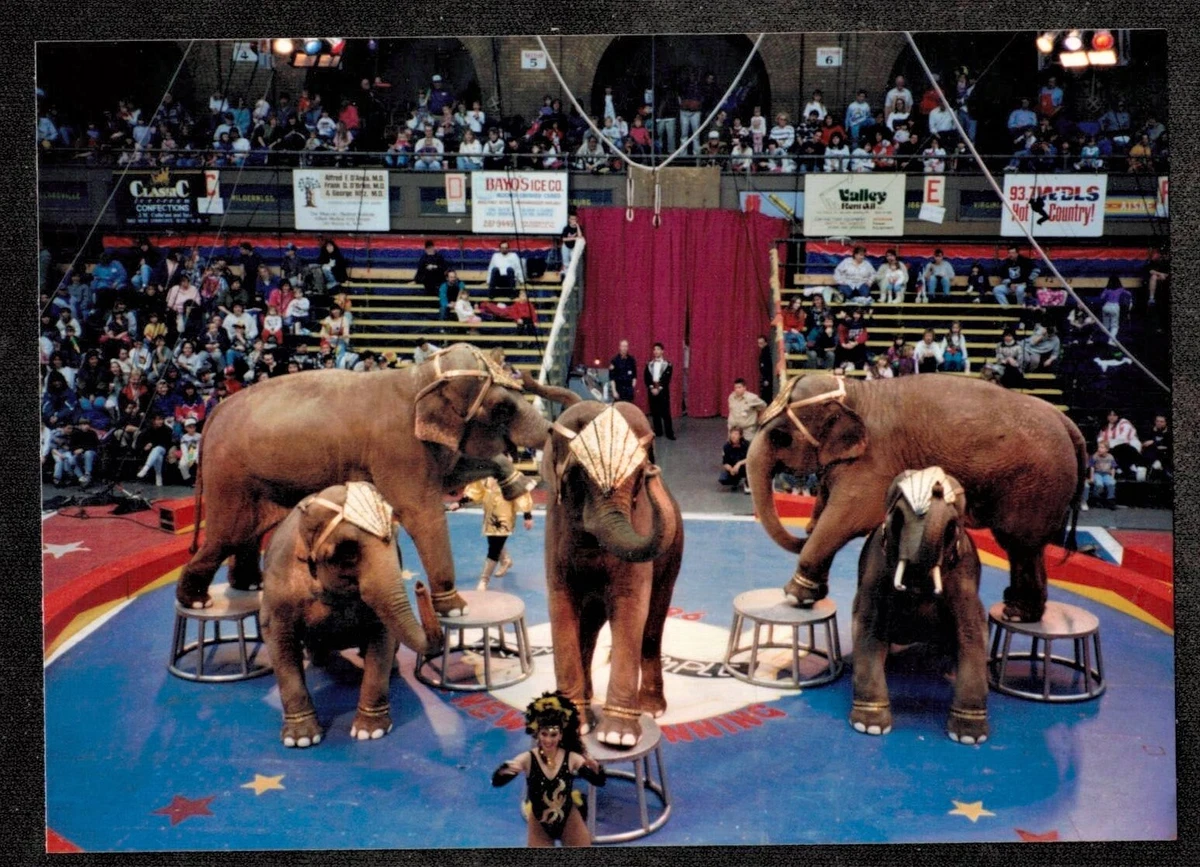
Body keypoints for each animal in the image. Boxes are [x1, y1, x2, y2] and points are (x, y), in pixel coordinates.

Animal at [179, 344, 550, 618]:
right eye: (503, 407)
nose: (549, 430)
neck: (419, 378)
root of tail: (216, 412)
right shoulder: (398, 447)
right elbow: (422, 513)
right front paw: (456, 609)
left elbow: (454, 473)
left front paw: (516, 485)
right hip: (229, 476)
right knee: (227, 534)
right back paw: (197, 601)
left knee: (247, 532)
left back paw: (249, 586)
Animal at [259, 482, 444, 748]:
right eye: (347, 552)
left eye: (396, 540)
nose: (419, 586)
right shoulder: (278, 592)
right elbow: (278, 639)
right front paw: (302, 739)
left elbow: (382, 636)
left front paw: (371, 732)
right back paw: (321, 661)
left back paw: (388, 668)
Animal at [532, 386, 683, 748]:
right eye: (576, 476)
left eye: (640, 476)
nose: (654, 473)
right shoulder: (555, 531)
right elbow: (560, 604)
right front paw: (575, 724)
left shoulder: (640, 521)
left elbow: (631, 604)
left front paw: (617, 737)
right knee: (589, 628)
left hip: (674, 555)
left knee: (652, 623)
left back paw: (652, 709)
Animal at [747, 373, 1087, 623]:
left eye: (779, 437)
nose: (803, 528)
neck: (855, 391)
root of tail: (1069, 424)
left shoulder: (874, 462)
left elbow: (847, 518)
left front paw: (794, 595)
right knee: (1025, 549)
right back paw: (1018, 610)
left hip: (1035, 485)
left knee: (1019, 545)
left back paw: (1018, 615)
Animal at [851, 467, 989, 744]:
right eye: (899, 518)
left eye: (952, 527)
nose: (936, 487)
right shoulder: (876, 568)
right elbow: (869, 627)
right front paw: (869, 727)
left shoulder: (964, 574)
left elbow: (972, 632)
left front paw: (969, 738)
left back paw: (949, 672)